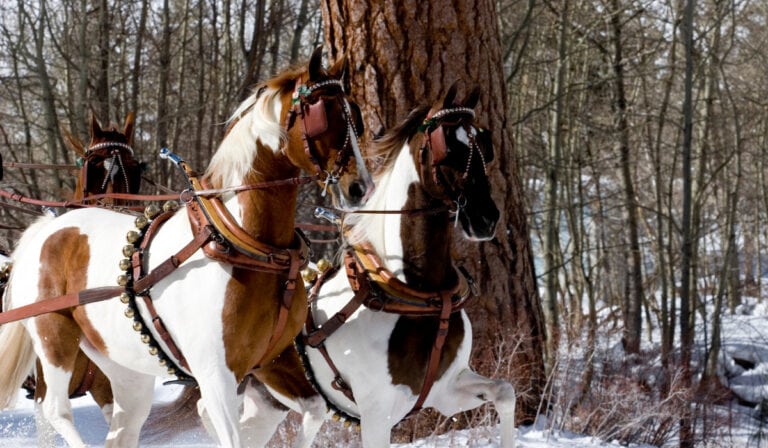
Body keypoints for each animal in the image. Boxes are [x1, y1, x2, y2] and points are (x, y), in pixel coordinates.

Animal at [0, 46, 370, 448]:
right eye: (322, 115)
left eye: (355, 117)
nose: (360, 187)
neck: (246, 244)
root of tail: (48, 229)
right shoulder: (216, 373)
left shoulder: (273, 359)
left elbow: (313, 410)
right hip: (54, 338)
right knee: (56, 411)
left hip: (121, 366)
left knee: (123, 426)